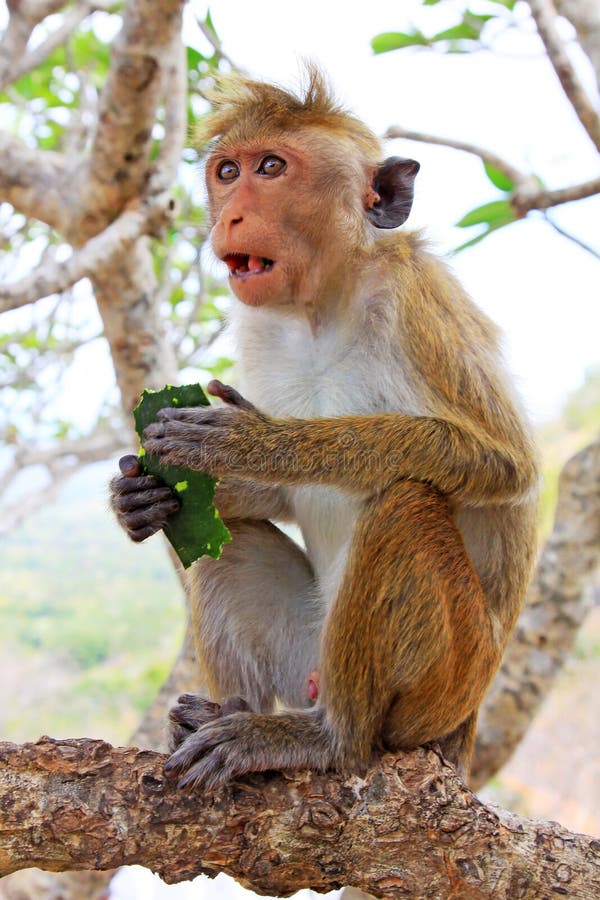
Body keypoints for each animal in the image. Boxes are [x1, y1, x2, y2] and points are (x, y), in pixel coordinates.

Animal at [110, 67, 538, 792]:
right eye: (228, 172)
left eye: (272, 168)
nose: (231, 214)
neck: (322, 309)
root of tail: (463, 726)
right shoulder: (259, 326)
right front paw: (141, 497)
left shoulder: (418, 298)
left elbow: (504, 464)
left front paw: (253, 442)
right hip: (305, 654)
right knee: (233, 542)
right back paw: (227, 712)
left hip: (442, 686)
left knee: (406, 505)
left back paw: (325, 740)